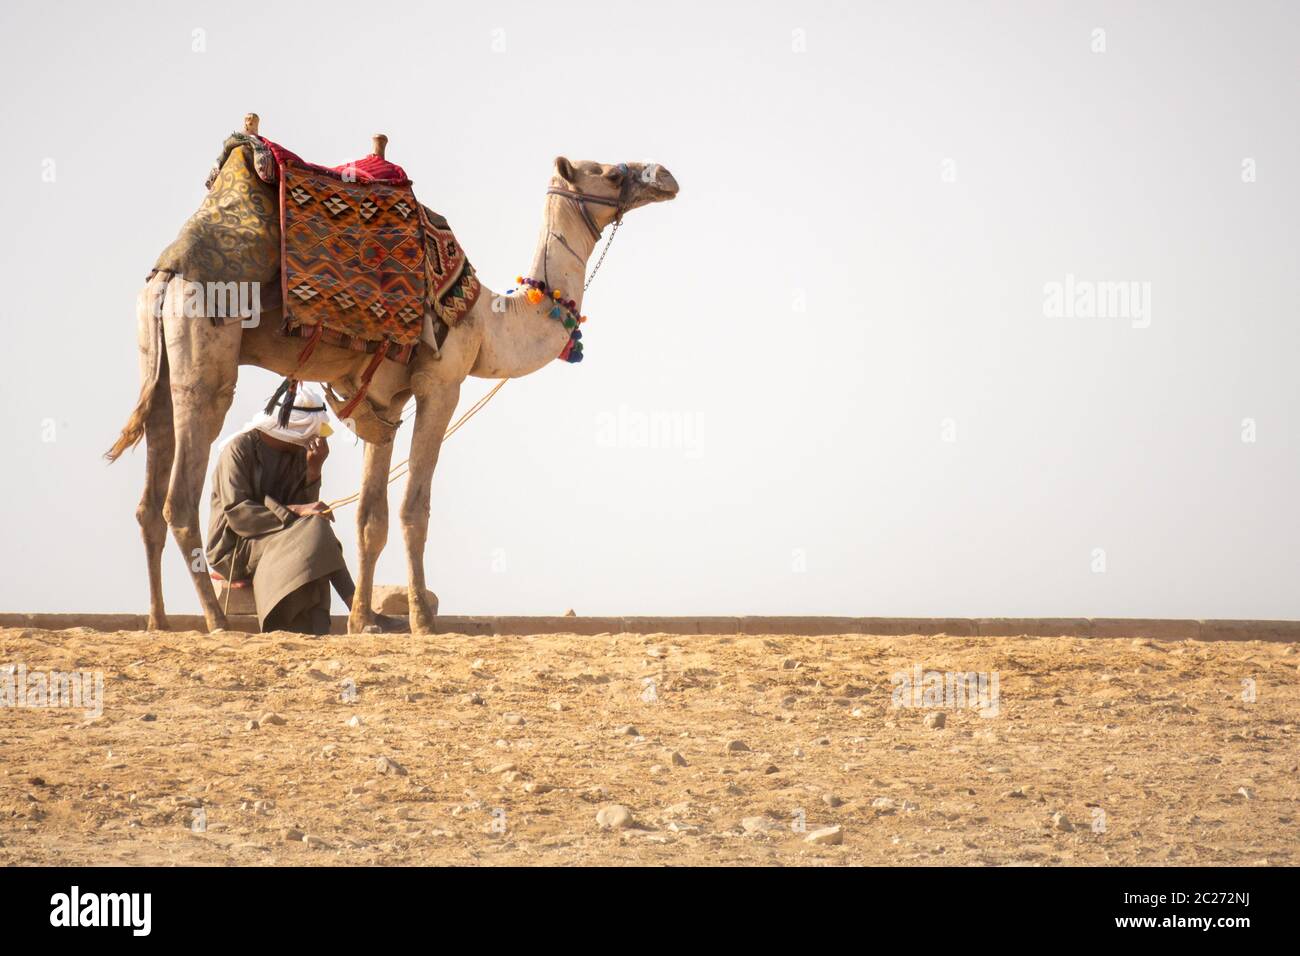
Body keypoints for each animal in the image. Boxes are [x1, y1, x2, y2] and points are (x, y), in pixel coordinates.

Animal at [106, 117, 678, 635]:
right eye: (608, 173)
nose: (665, 175)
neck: (488, 319)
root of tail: (169, 271)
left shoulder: (383, 404)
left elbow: (370, 520)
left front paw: (367, 620)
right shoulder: (441, 384)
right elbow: (412, 510)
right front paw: (422, 620)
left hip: (157, 358)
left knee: (149, 494)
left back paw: (159, 620)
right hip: (207, 345)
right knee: (182, 492)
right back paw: (218, 621)